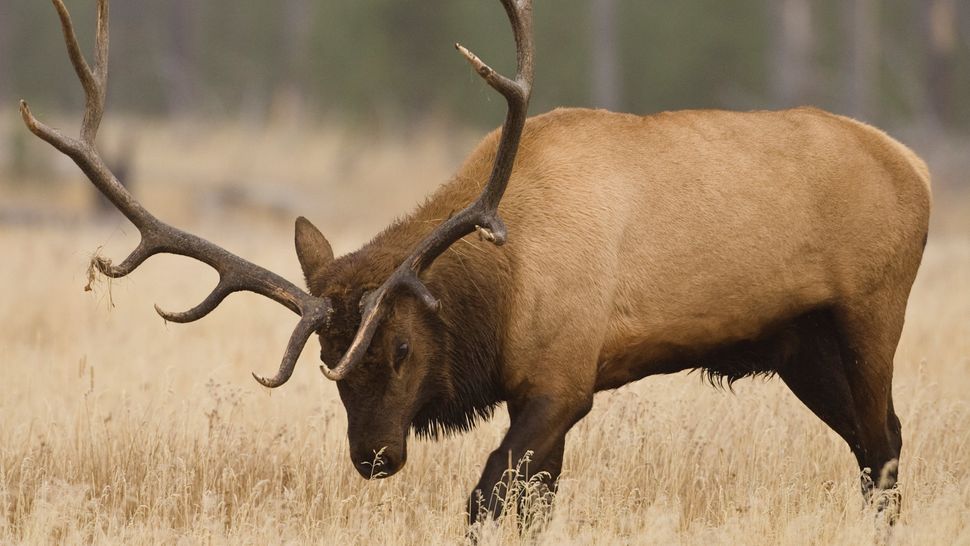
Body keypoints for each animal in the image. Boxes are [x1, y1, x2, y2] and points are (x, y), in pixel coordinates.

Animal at [23, 0, 930, 527]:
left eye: (401, 347)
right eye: (327, 360)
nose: (374, 457)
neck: (502, 290)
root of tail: (916, 164)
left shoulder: (564, 379)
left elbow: (487, 498)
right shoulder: (546, 395)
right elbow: (529, 506)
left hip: (871, 315)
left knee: (884, 446)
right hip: (800, 348)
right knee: (873, 448)